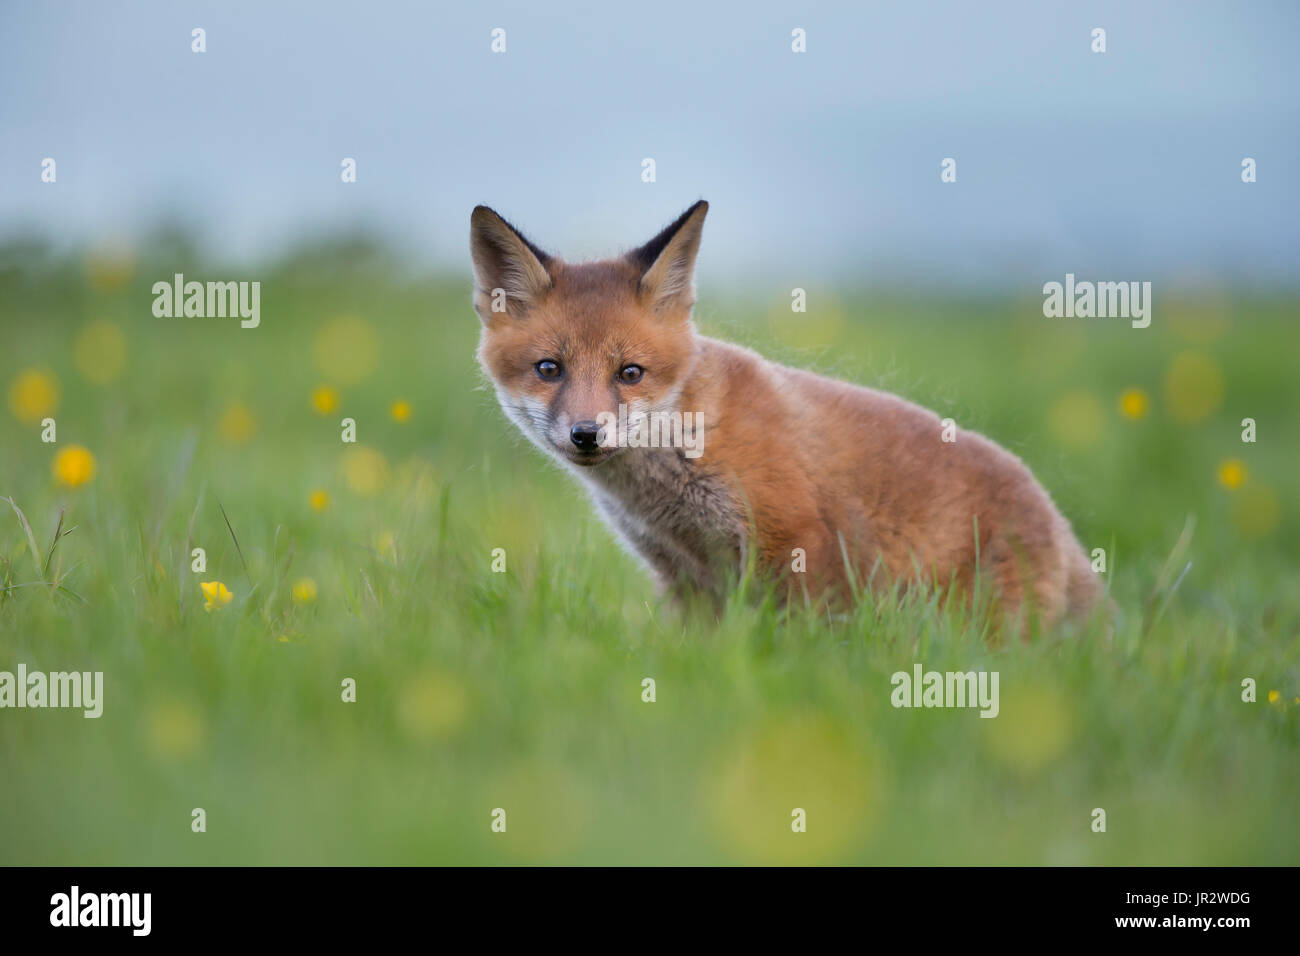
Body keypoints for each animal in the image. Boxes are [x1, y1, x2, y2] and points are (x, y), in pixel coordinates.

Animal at [469, 200, 1106, 631]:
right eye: (549, 369)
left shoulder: (798, 542)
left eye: (630, 373)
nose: (586, 434)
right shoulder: (686, 578)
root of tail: (1057, 519)